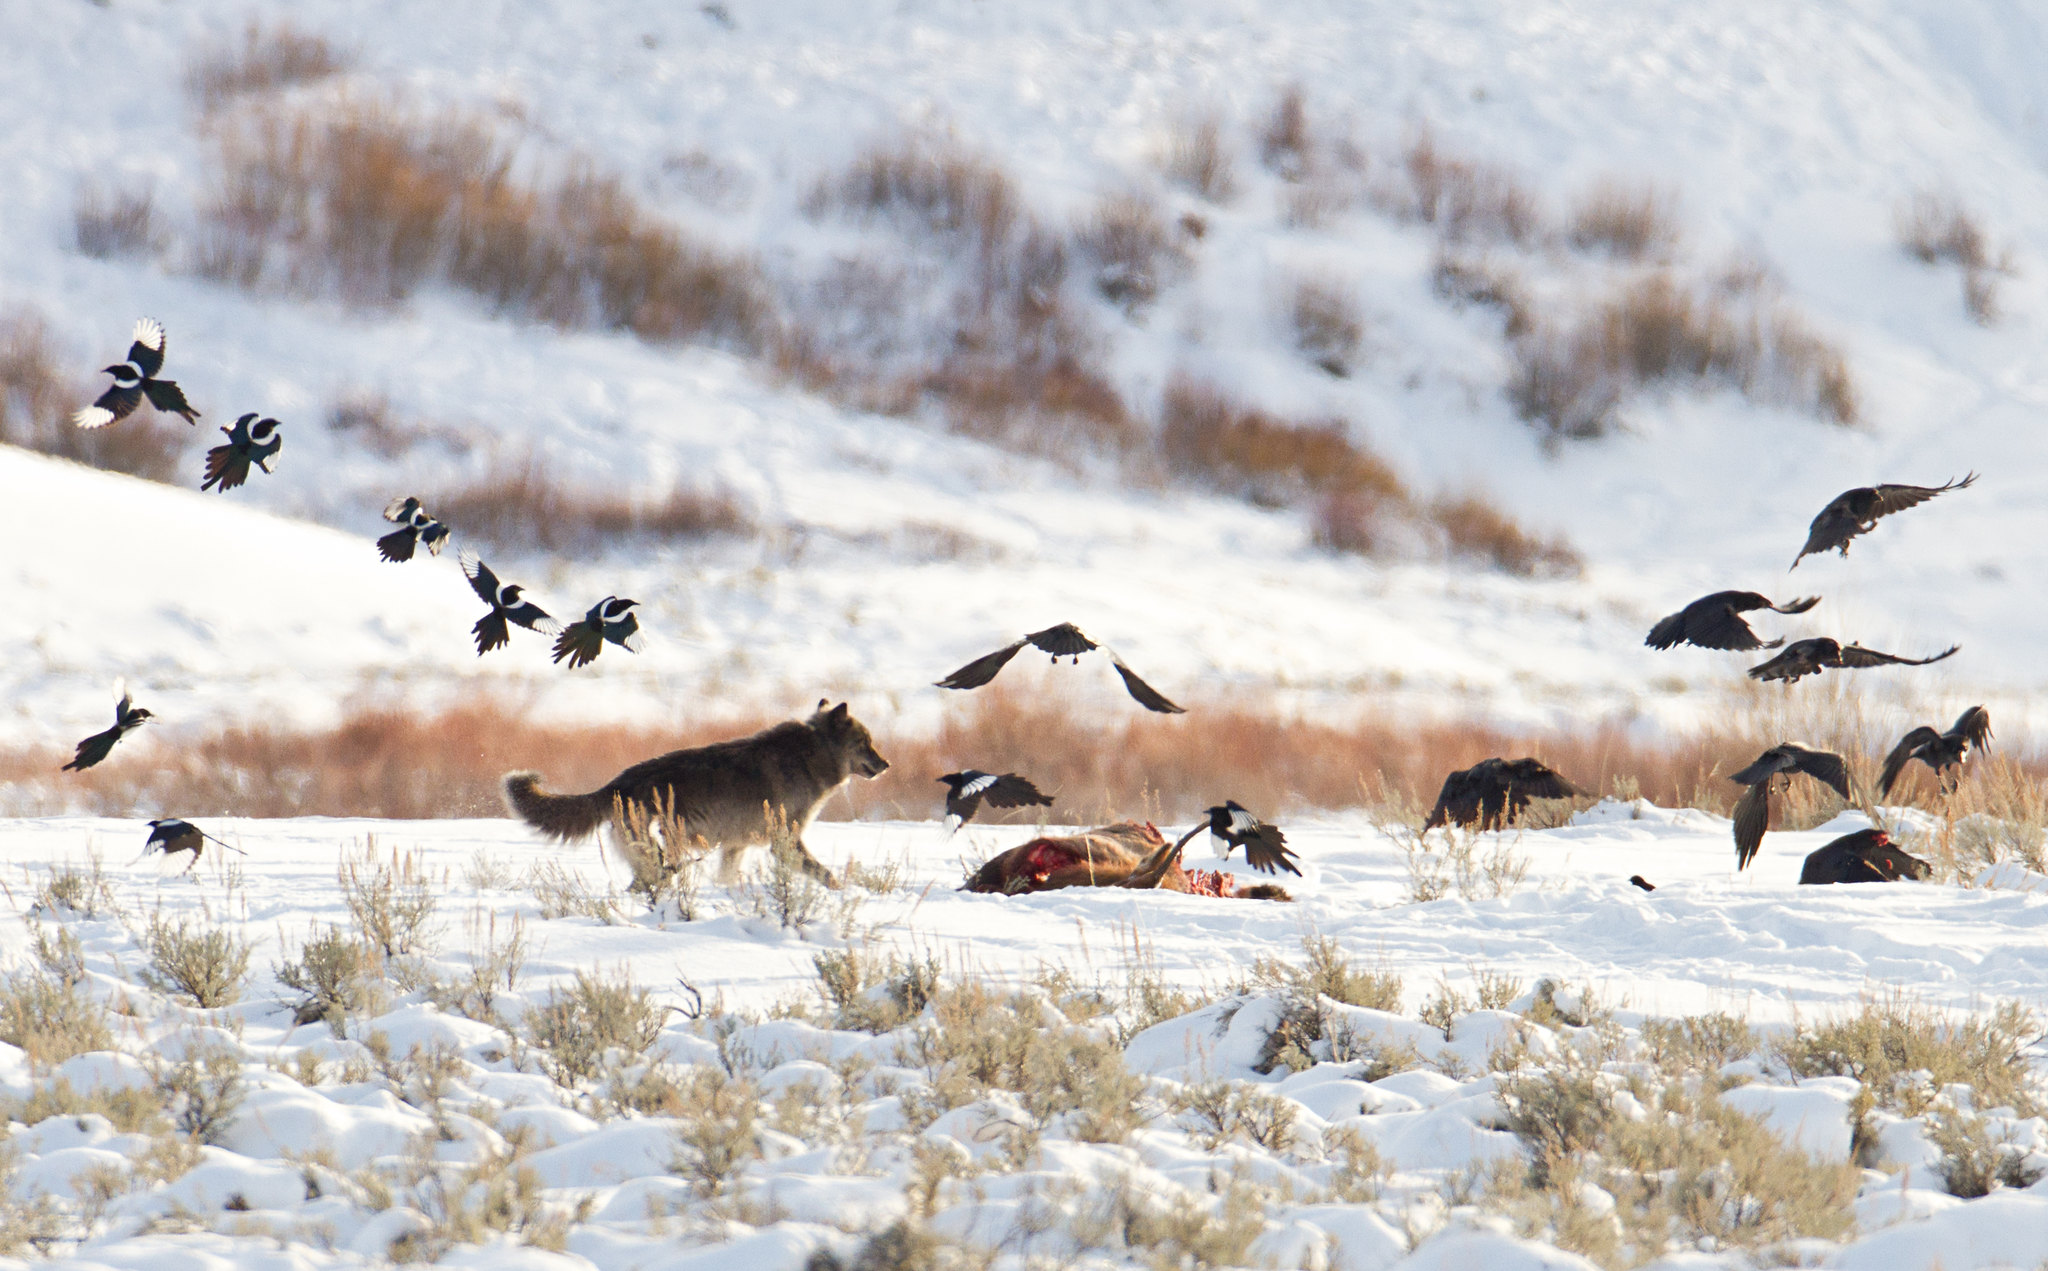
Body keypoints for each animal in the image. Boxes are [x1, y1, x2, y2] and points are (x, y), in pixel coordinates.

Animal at [502, 700, 889, 885]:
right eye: (866, 742)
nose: (886, 764)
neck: (811, 755)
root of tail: (616, 784)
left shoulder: (735, 847)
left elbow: (728, 880)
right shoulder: (785, 843)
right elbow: (830, 878)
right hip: (665, 857)